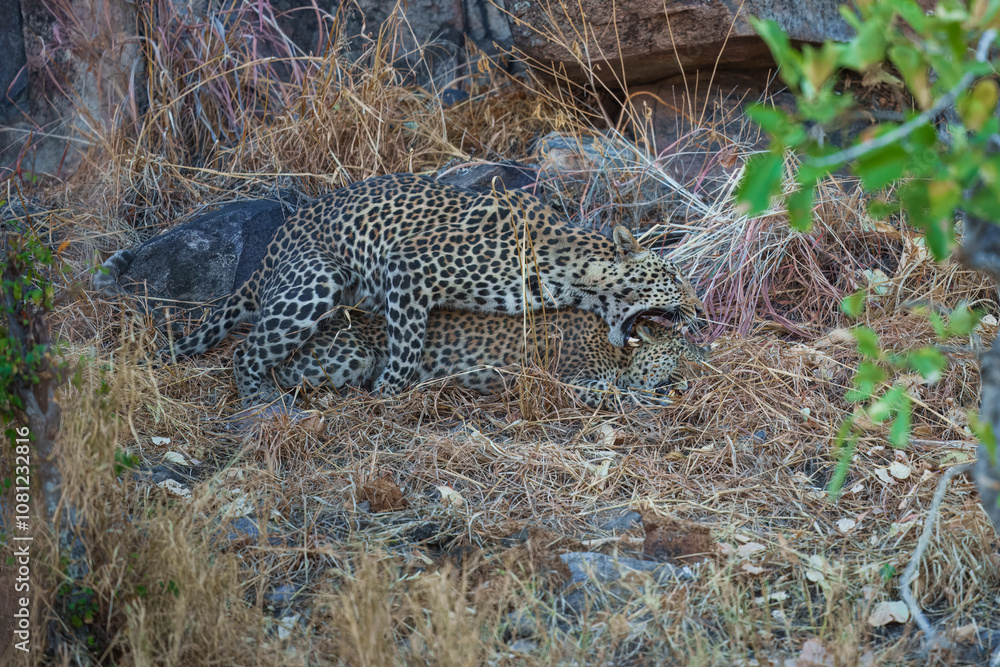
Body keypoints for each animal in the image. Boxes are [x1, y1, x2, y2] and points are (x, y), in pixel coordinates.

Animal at [160, 173, 704, 407]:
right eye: (675, 278)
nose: (699, 309)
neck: (569, 268)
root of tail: (271, 251)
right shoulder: (407, 269)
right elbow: (406, 348)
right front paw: (387, 393)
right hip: (317, 280)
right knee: (248, 351)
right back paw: (261, 404)